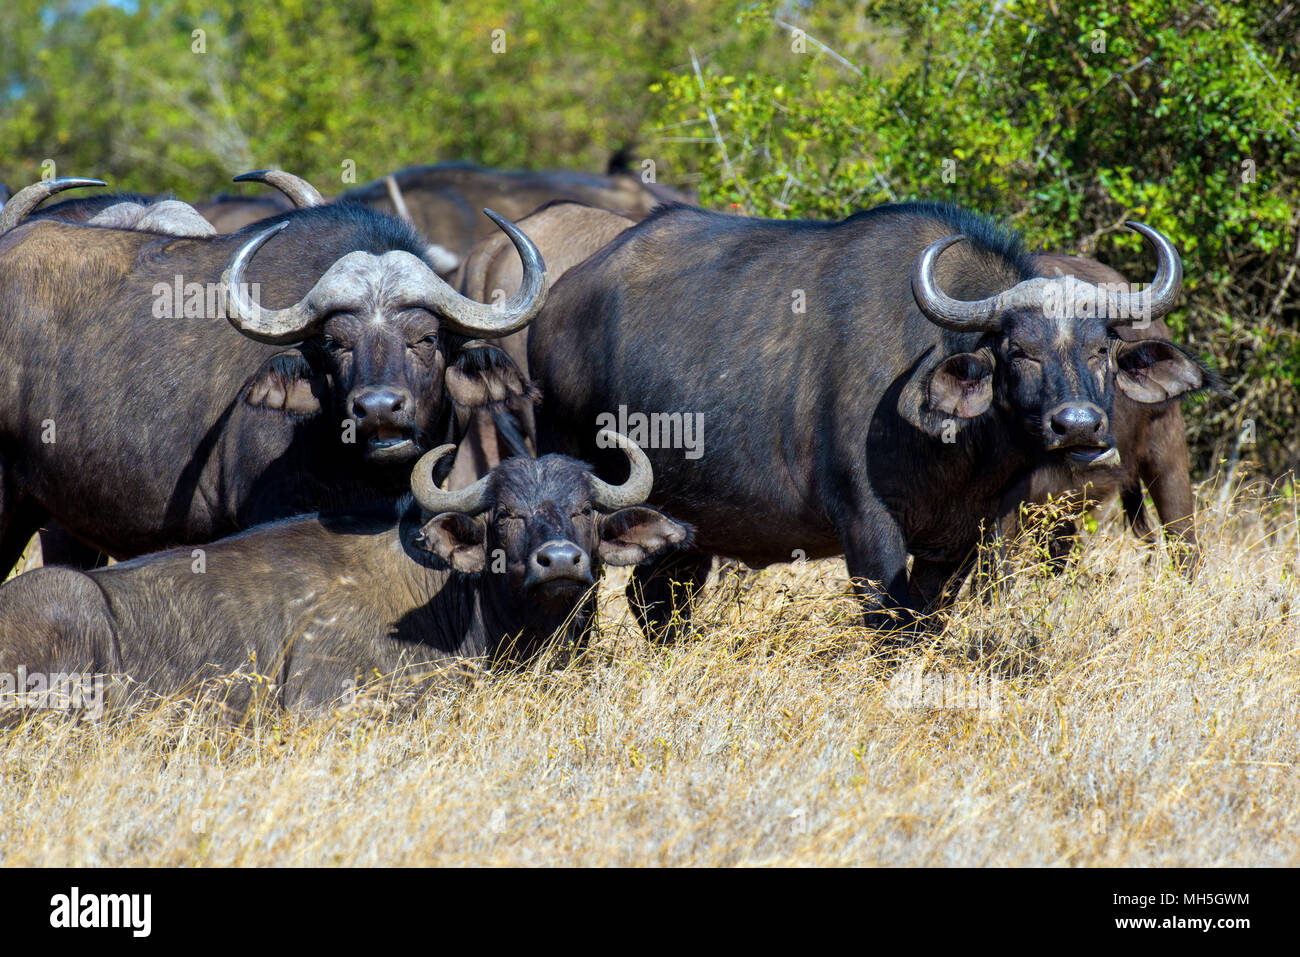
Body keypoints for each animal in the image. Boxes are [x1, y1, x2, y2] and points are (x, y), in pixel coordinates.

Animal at [527, 202, 1211, 642]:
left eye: (1101, 349)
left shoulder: (963, 537)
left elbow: (929, 622)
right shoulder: (867, 524)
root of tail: (558, 302)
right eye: (1019, 350)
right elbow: (891, 625)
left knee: (657, 602)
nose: (1078, 426)